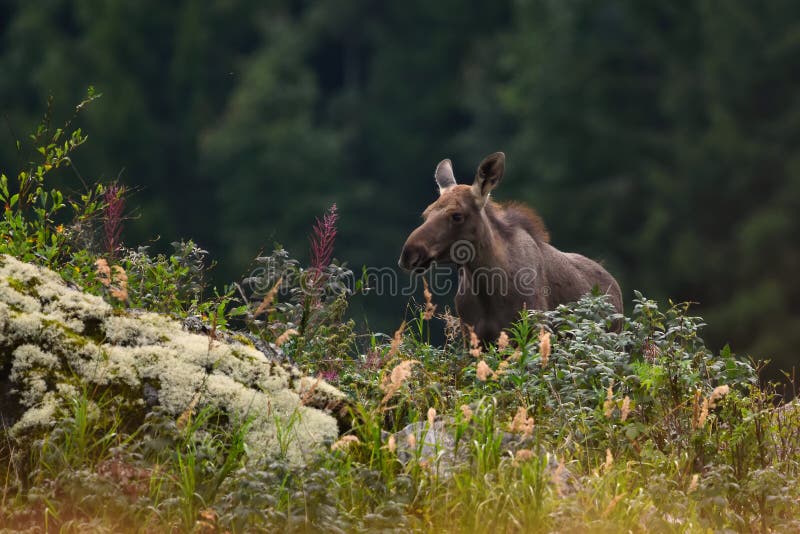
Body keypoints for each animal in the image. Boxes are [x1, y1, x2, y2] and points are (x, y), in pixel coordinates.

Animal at [398, 152, 623, 343]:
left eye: (457, 215)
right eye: (426, 213)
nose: (409, 253)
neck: (488, 289)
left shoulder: (533, 331)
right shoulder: (472, 337)